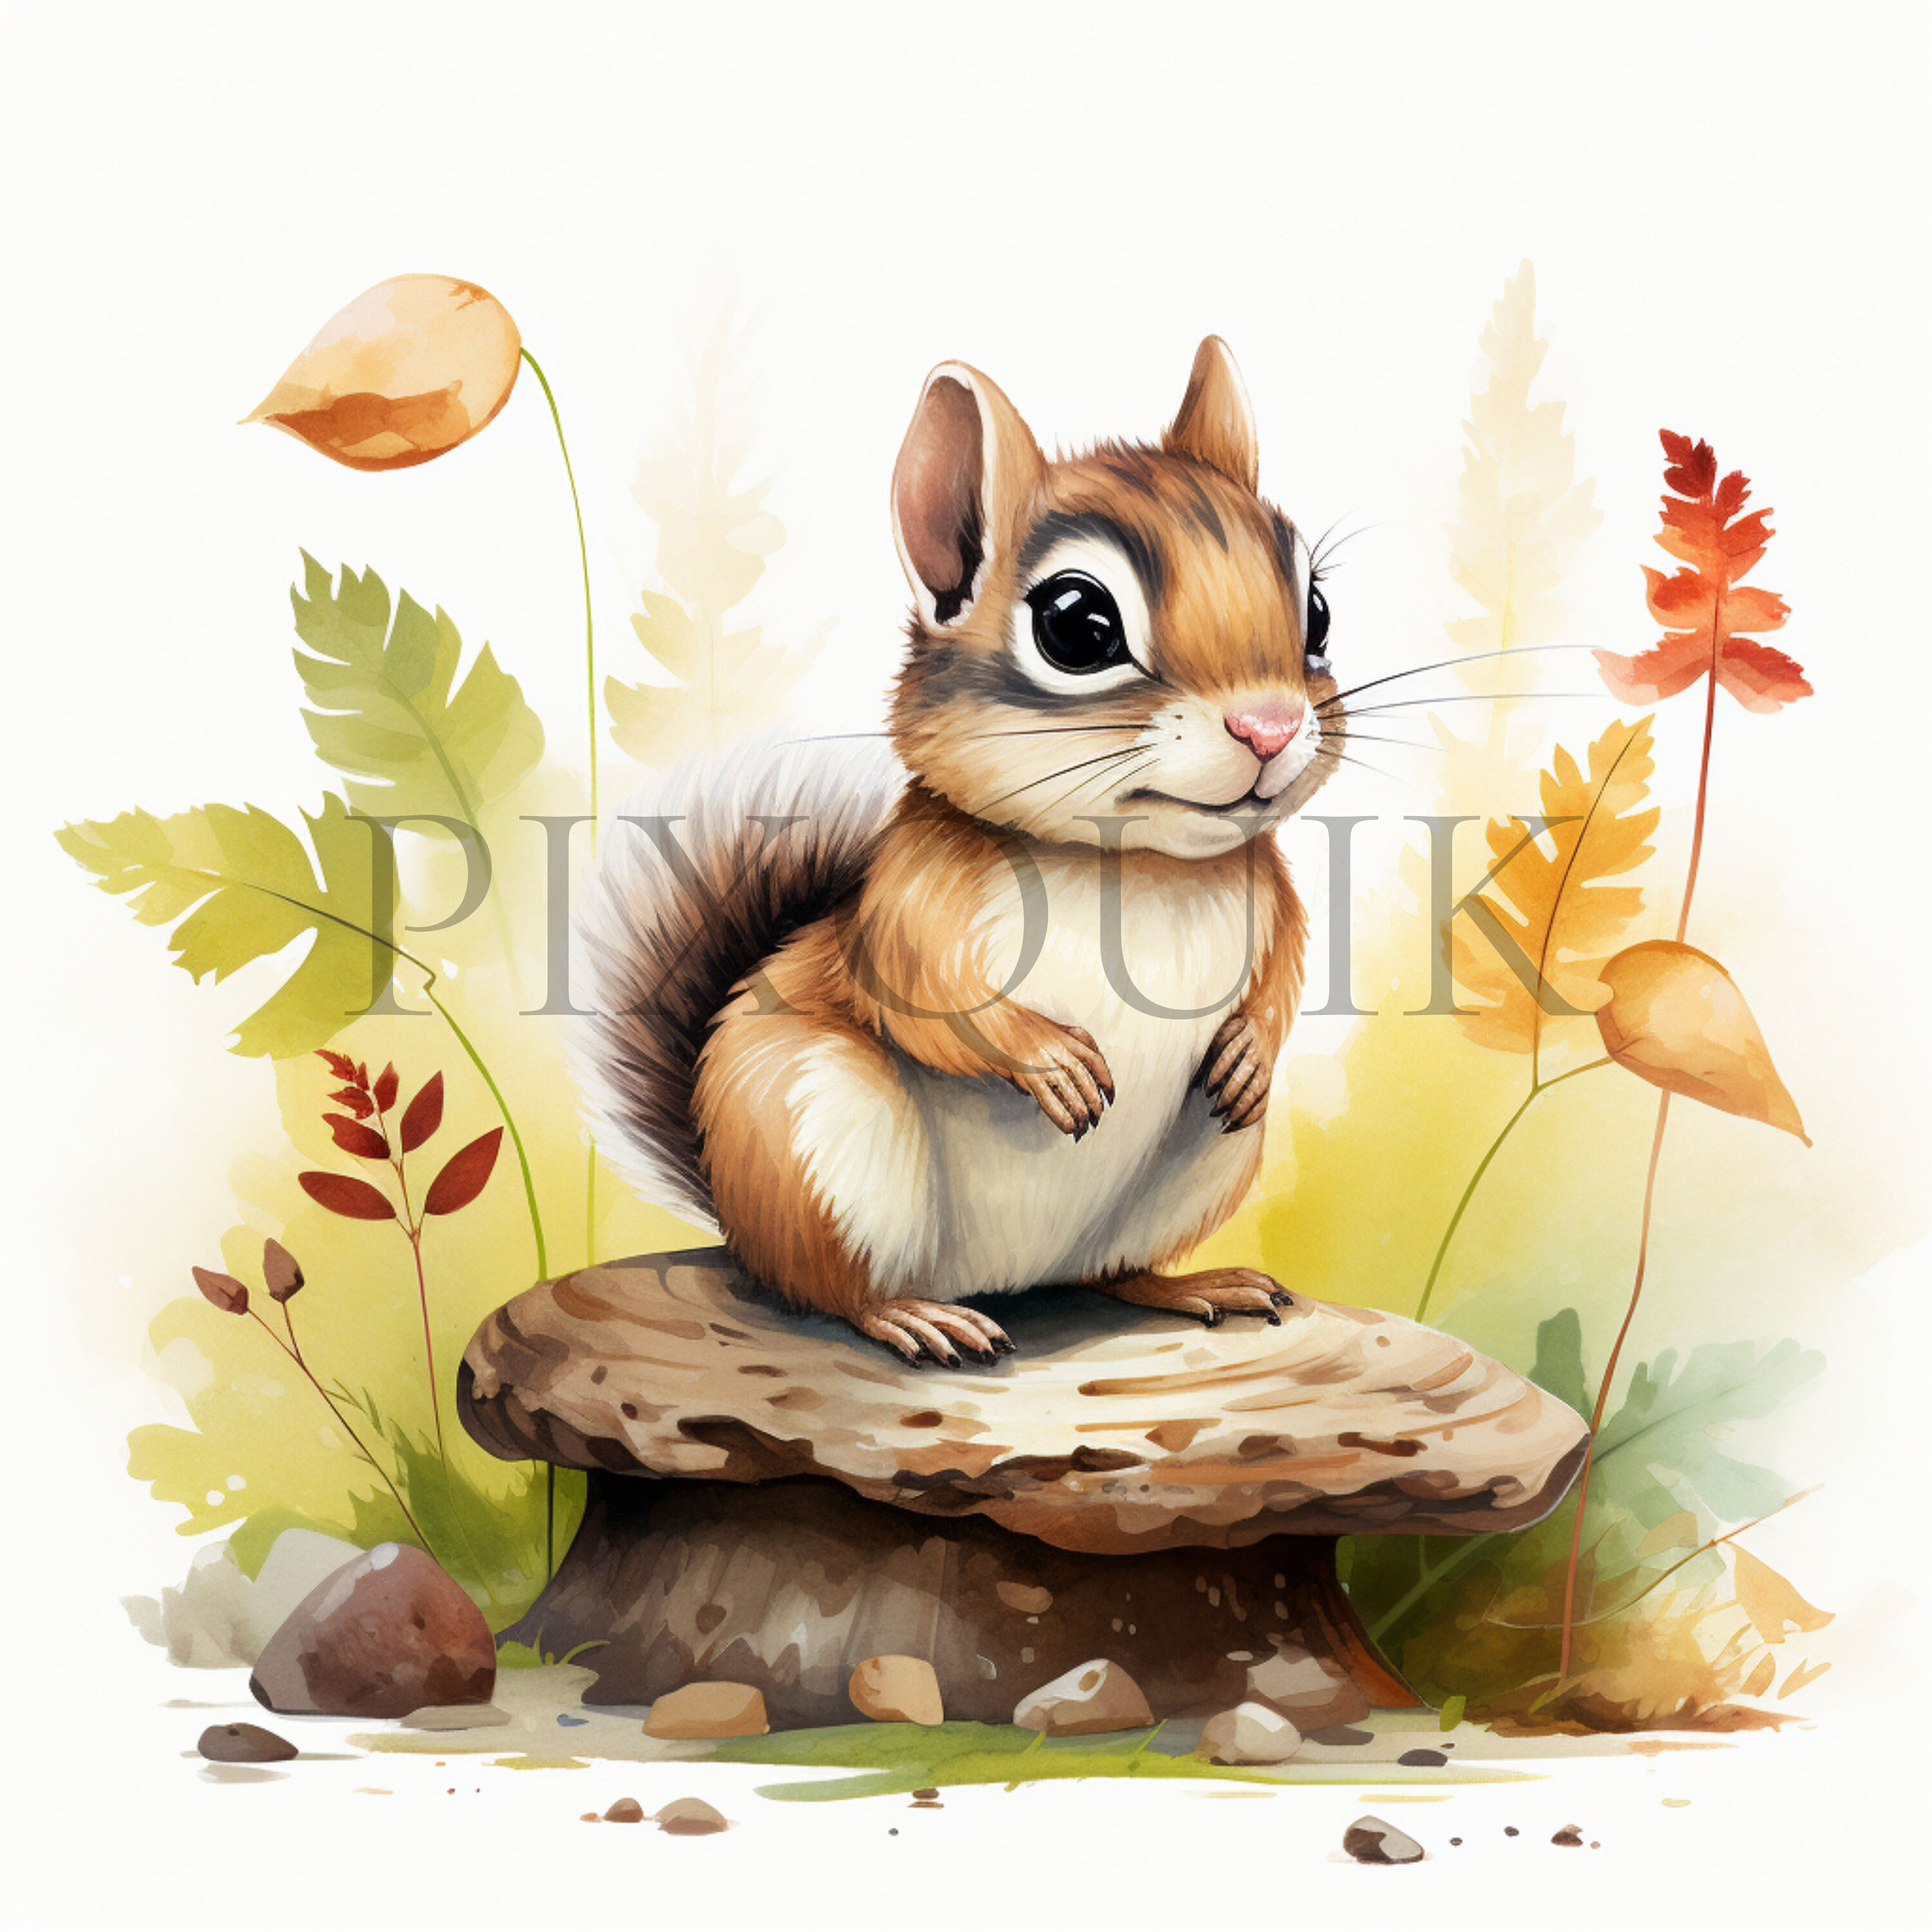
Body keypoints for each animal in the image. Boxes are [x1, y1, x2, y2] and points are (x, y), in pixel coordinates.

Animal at [576, 337, 1346, 1364]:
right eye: (1077, 624)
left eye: (1319, 611)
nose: (1269, 728)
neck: (1133, 866)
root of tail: (1010, 1279)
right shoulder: (908, 904)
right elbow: (921, 992)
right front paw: (1050, 1061)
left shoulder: (1274, 892)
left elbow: (1289, 963)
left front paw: (1252, 1050)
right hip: (810, 1131)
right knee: (827, 1287)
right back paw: (913, 1316)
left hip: (1205, 1168)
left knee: (1110, 1272)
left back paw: (1193, 1284)